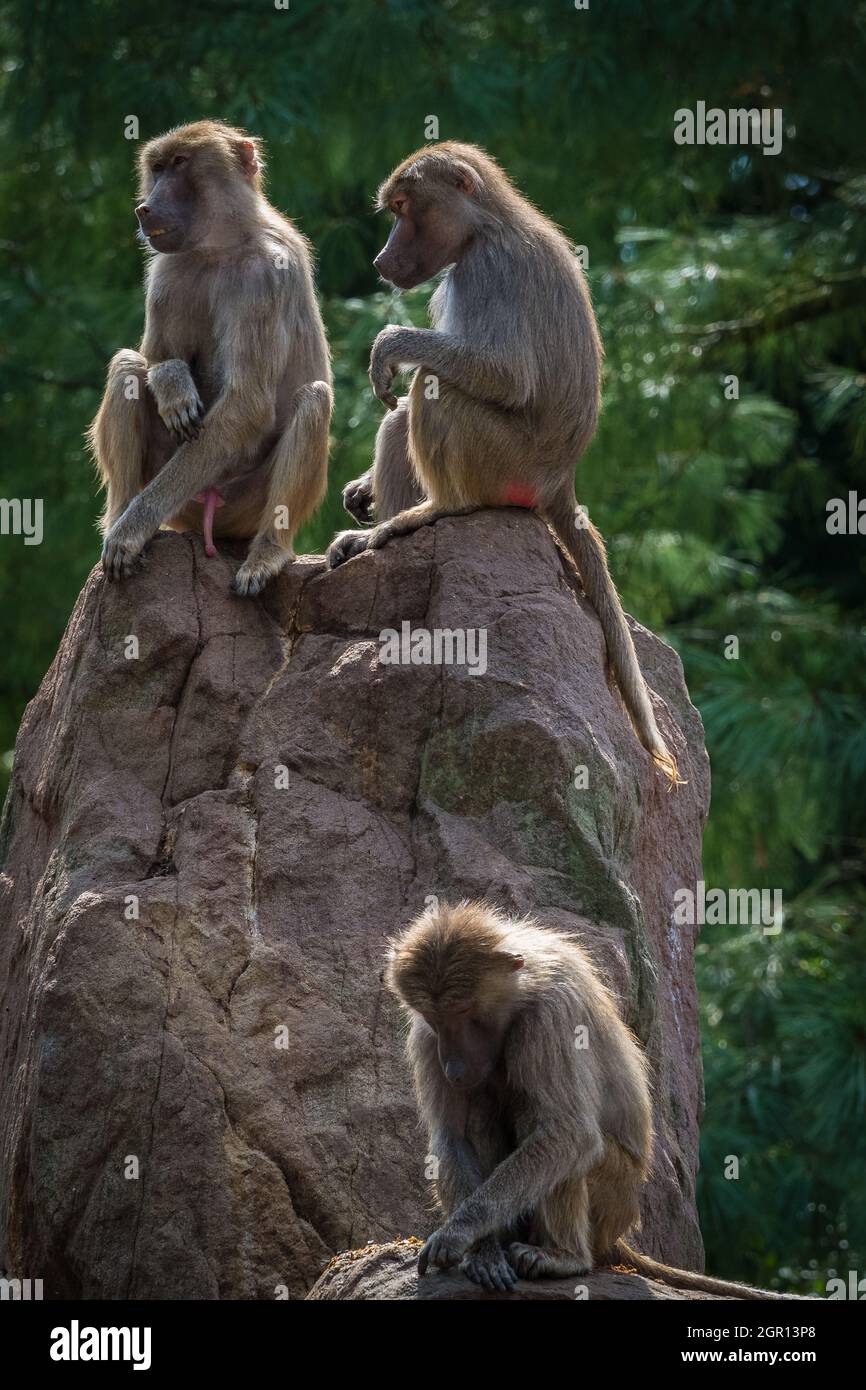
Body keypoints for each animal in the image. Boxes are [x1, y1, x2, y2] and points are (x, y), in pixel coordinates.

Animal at [87, 121, 333, 597]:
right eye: (157, 167)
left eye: (181, 164)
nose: (145, 208)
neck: (221, 246)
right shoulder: (167, 272)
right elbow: (154, 357)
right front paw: (173, 382)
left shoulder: (265, 277)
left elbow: (249, 404)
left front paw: (133, 530)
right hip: (181, 501)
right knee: (126, 367)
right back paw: (119, 517)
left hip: (242, 503)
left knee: (315, 399)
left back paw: (267, 554)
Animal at [328, 142, 678, 783]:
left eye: (403, 207)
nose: (382, 258)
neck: (486, 226)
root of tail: (561, 482)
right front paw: (361, 489)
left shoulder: (488, 270)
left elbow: (505, 376)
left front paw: (390, 343)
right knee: (404, 413)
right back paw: (380, 533)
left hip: (501, 462)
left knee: (435, 385)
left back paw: (434, 511)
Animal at [385, 901, 789, 1299]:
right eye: (435, 1016)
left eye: (465, 1011)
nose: (453, 1068)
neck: (521, 991)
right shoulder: (426, 1039)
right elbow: (452, 1138)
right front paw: (480, 1250)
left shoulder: (552, 1016)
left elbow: (570, 1132)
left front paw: (458, 1233)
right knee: (485, 1116)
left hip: (616, 1194)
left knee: (558, 1137)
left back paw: (566, 1258)